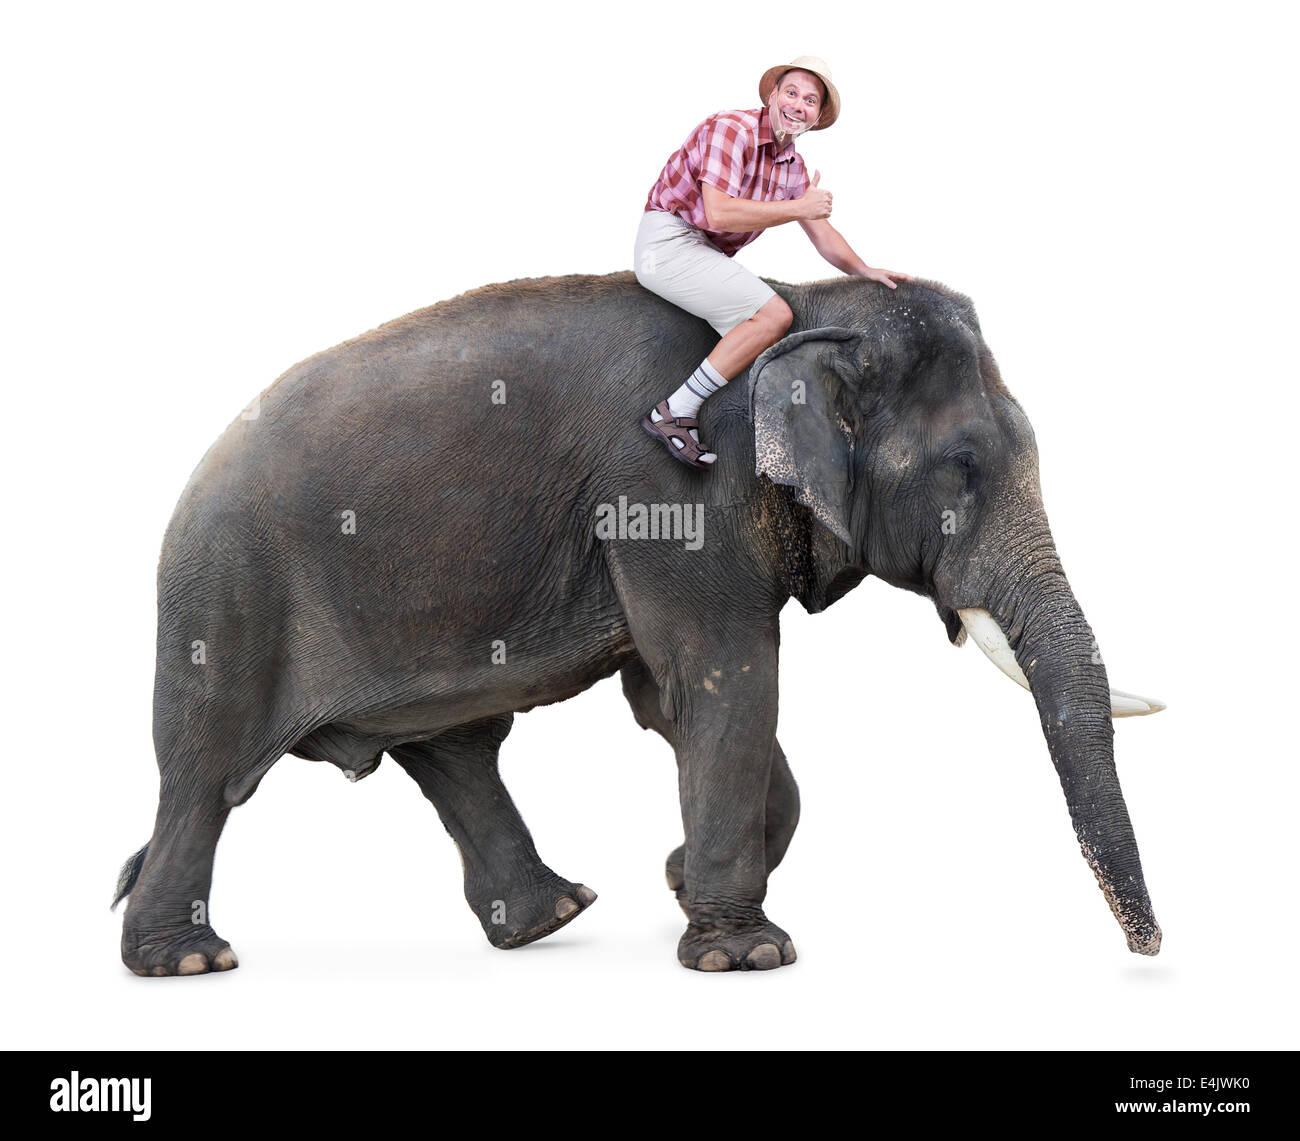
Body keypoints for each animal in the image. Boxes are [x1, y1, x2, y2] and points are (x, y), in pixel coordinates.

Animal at [112, 269, 1165, 975]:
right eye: (964, 470)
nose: (1151, 949)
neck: (800, 306)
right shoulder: (668, 491)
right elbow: (726, 673)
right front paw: (746, 956)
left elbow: (671, 697)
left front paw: (678, 879)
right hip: (226, 597)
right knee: (207, 770)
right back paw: (189, 962)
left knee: (454, 748)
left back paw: (552, 917)